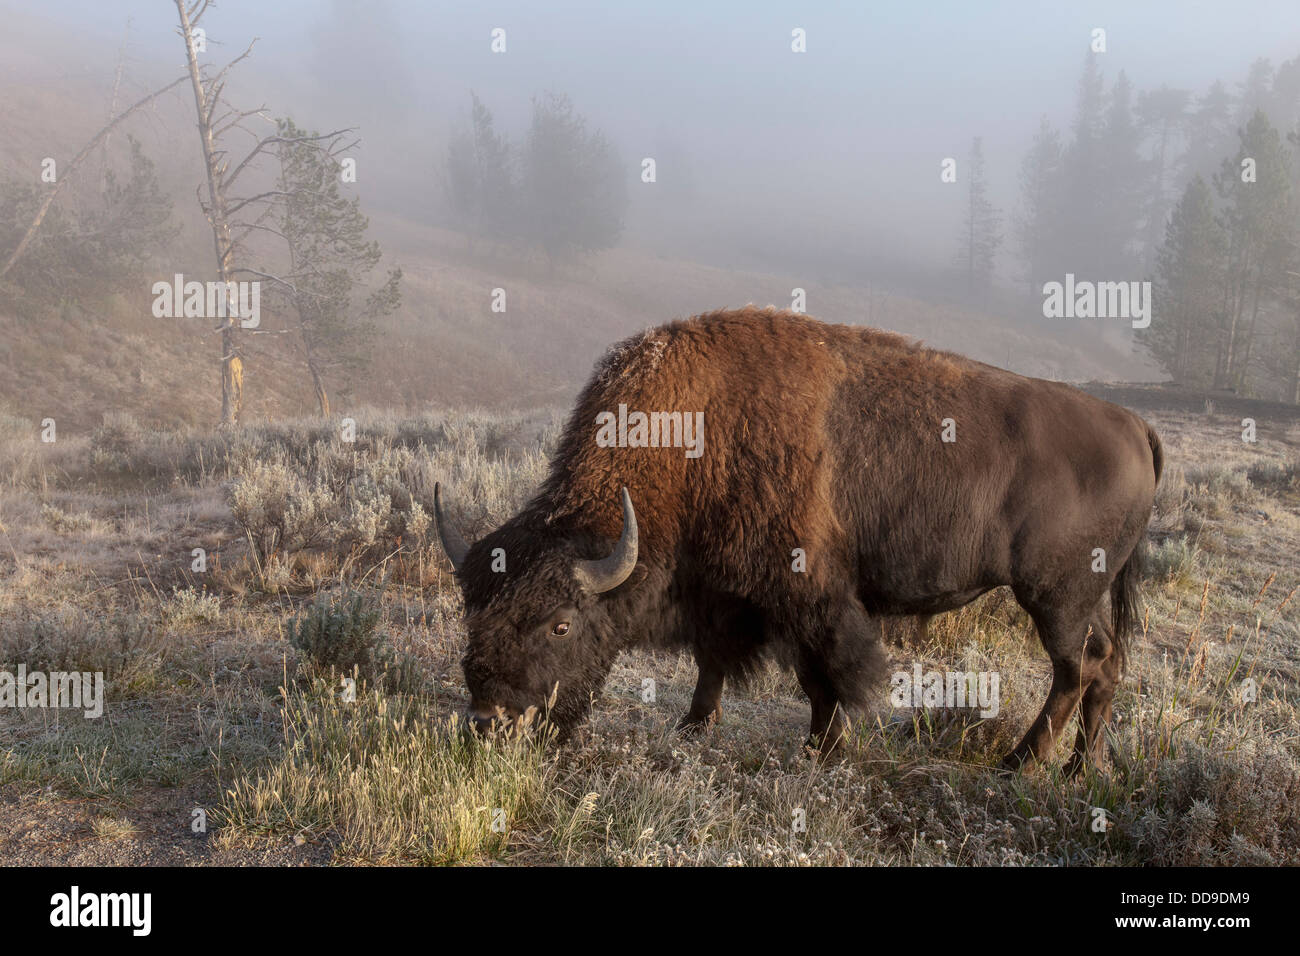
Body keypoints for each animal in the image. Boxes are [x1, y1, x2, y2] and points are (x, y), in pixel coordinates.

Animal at [435, 306, 1162, 770]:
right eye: (474, 610)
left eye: (560, 624)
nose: (491, 722)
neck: (694, 433)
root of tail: (1133, 425)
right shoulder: (721, 593)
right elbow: (715, 660)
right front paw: (695, 726)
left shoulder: (809, 594)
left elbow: (827, 677)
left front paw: (823, 751)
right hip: (1085, 596)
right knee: (1106, 664)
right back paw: (1080, 769)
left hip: (1056, 596)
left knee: (1075, 668)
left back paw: (1020, 762)